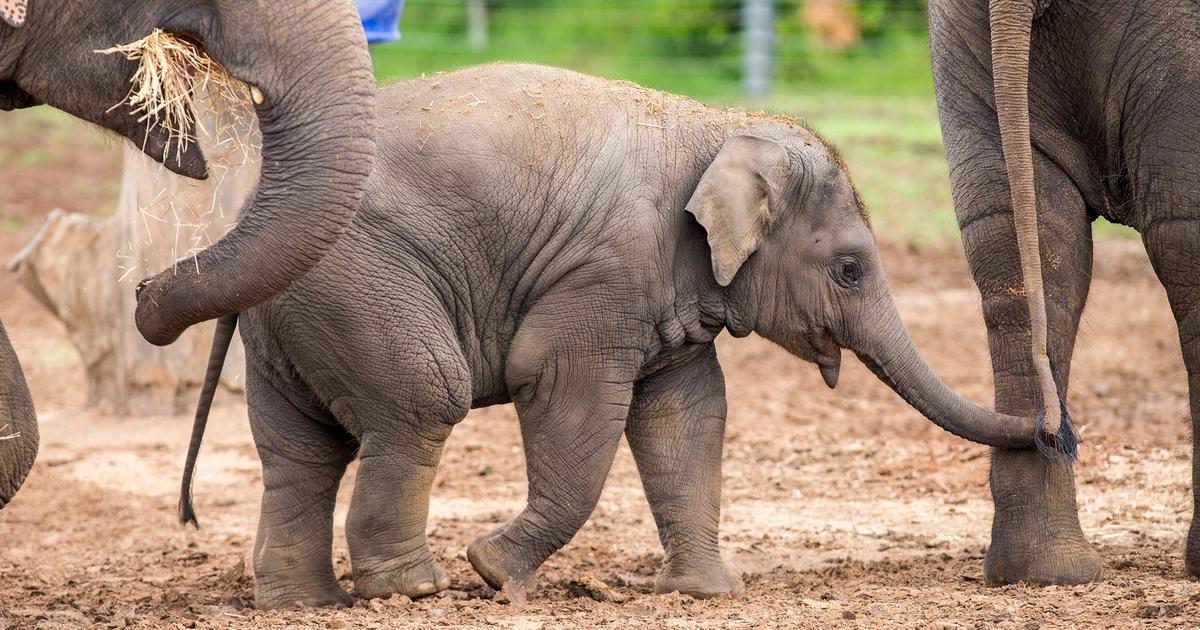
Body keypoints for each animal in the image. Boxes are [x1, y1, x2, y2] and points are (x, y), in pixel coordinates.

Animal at [177, 64, 1065, 609]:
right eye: (849, 271)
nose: (1060, 433)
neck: (718, 126)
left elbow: (687, 416)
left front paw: (704, 594)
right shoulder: (605, 273)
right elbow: (562, 390)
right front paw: (493, 573)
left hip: (299, 311)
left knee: (300, 448)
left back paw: (306, 601)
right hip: (359, 286)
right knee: (423, 400)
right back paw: (415, 591)